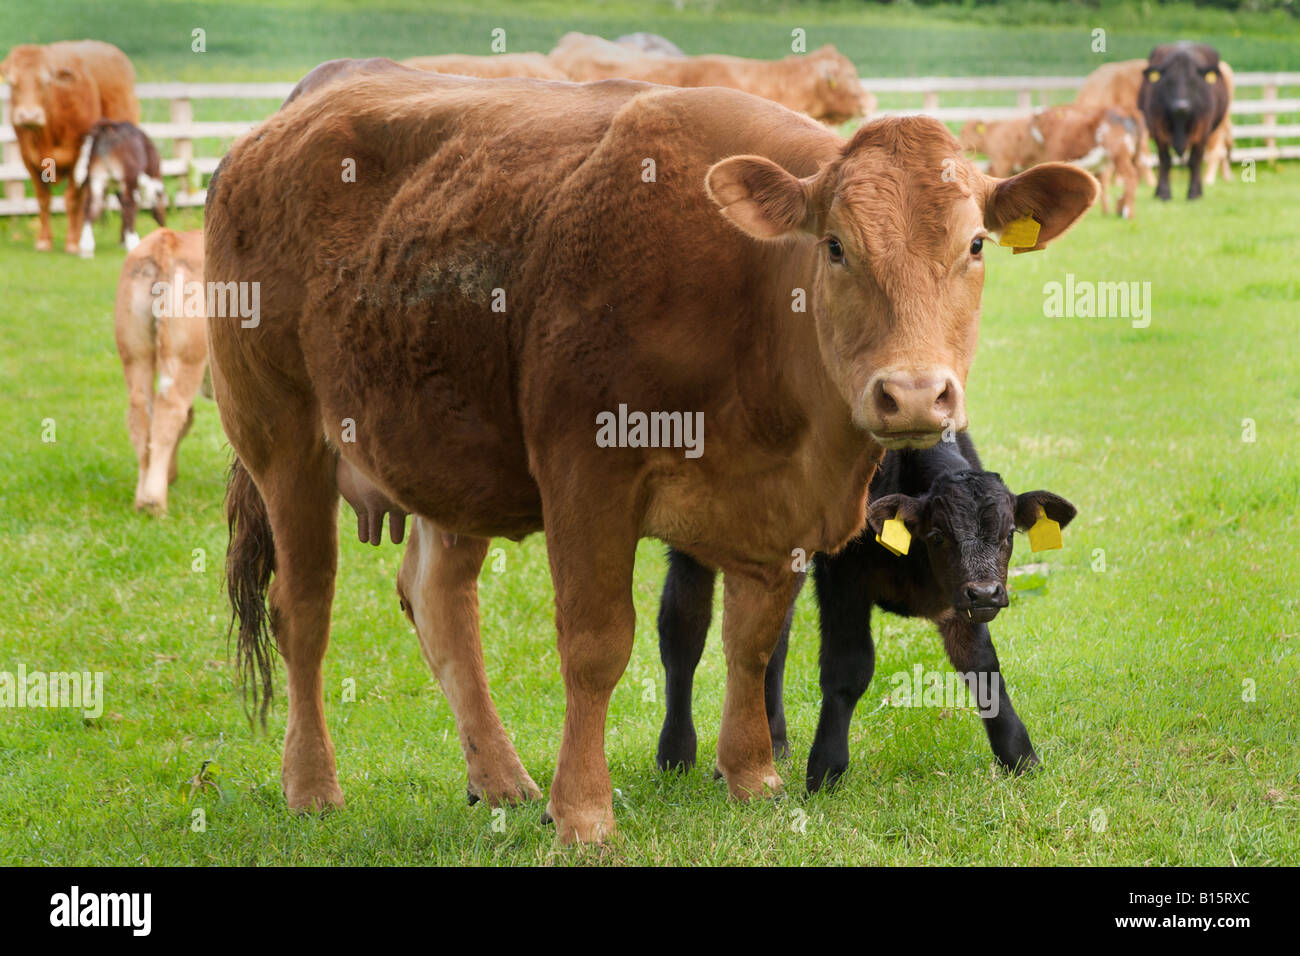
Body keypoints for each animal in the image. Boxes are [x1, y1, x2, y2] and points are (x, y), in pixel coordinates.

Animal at [0, 41, 139, 253]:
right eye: (12, 82)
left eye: (46, 82)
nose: (29, 115)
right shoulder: (28, 158)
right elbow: (43, 198)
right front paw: (44, 241)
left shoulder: (78, 156)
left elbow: (72, 199)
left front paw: (72, 242)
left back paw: (123, 239)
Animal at [74, 120, 167, 257]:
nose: (164, 227)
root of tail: (107, 128)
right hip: (128, 177)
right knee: (129, 205)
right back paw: (134, 244)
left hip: (97, 178)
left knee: (91, 206)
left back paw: (86, 249)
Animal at [114, 228, 208, 514]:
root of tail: (168, 238)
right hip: (186, 356)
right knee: (171, 409)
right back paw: (154, 500)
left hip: (135, 353)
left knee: (142, 411)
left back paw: (143, 495)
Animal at [656, 432, 1076, 791]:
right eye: (938, 535)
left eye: (1008, 534)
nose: (986, 593)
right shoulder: (843, 573)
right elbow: (849, 668)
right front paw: (825, 771)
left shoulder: (957, 595)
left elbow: (981, 664)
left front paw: (1019, 756)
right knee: (682, 632)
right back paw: (676, 755)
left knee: (769, 639)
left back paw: (770, 744)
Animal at [1138, 43, 1230, 200]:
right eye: (1169, 82)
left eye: (1194, 82)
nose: (1181, 106)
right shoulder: (1158, 130)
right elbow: (1165, 161)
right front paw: (1163, 193)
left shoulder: (1202, 131)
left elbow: (1194, 161)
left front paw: (1193, 193)